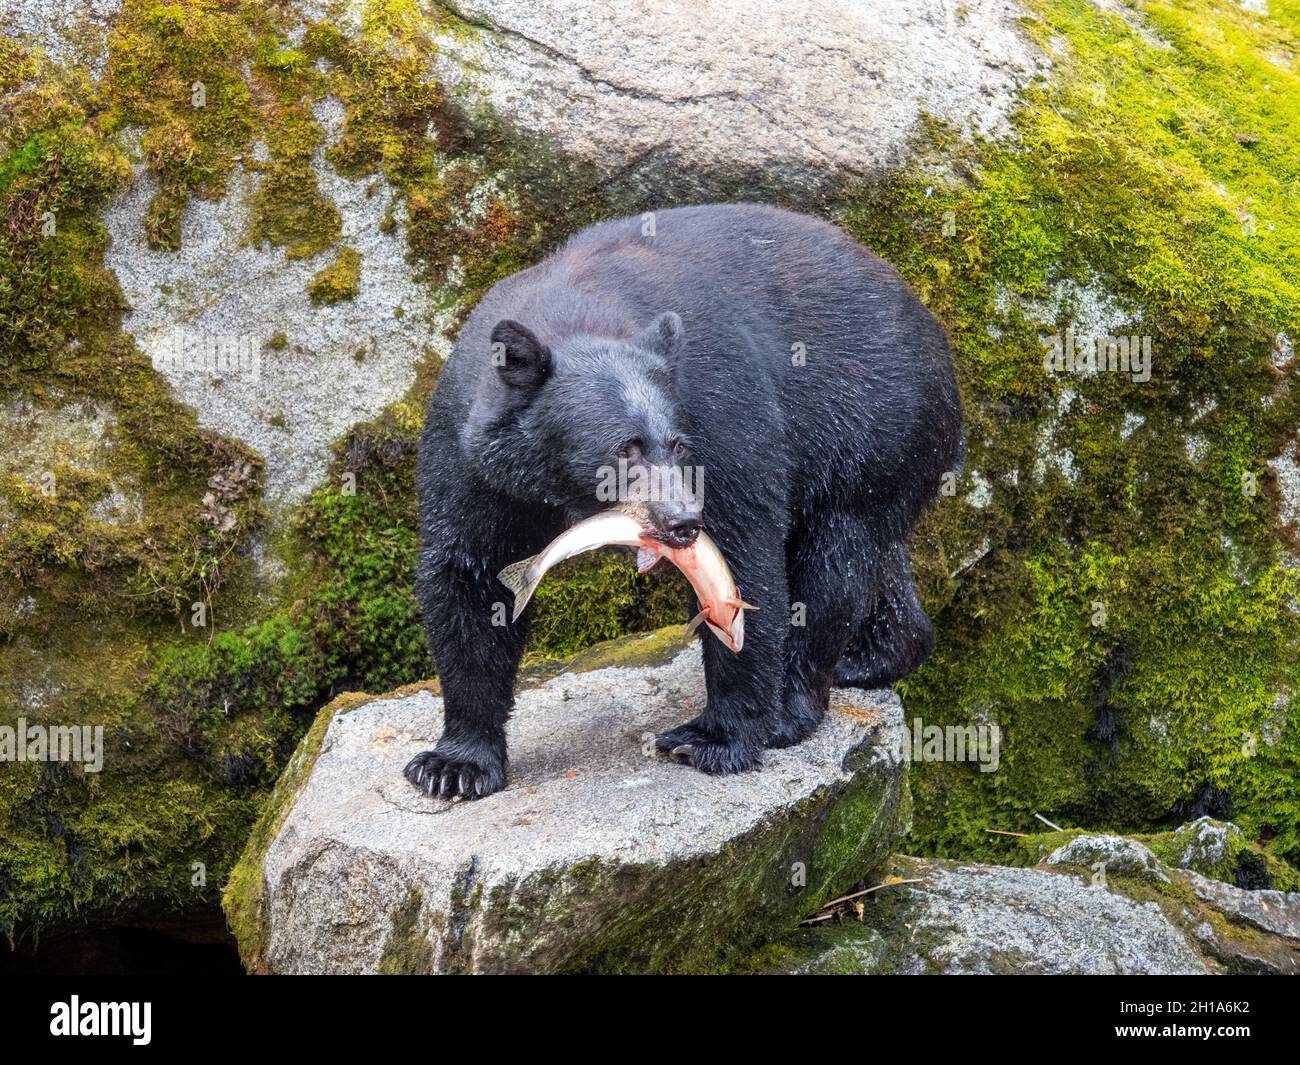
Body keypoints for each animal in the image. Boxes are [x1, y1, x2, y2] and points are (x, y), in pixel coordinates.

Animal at [405, 203, 964, 799]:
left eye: (676, 444)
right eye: (624, 447)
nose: (684, 523)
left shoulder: (718, 408)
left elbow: (745, 551)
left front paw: (715, 737)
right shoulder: (471, 456)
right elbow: (470, 573)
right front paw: (454, 765)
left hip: (871, 425)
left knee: (835, 565)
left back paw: (794, 705)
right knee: (876, 558)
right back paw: (874, 656)